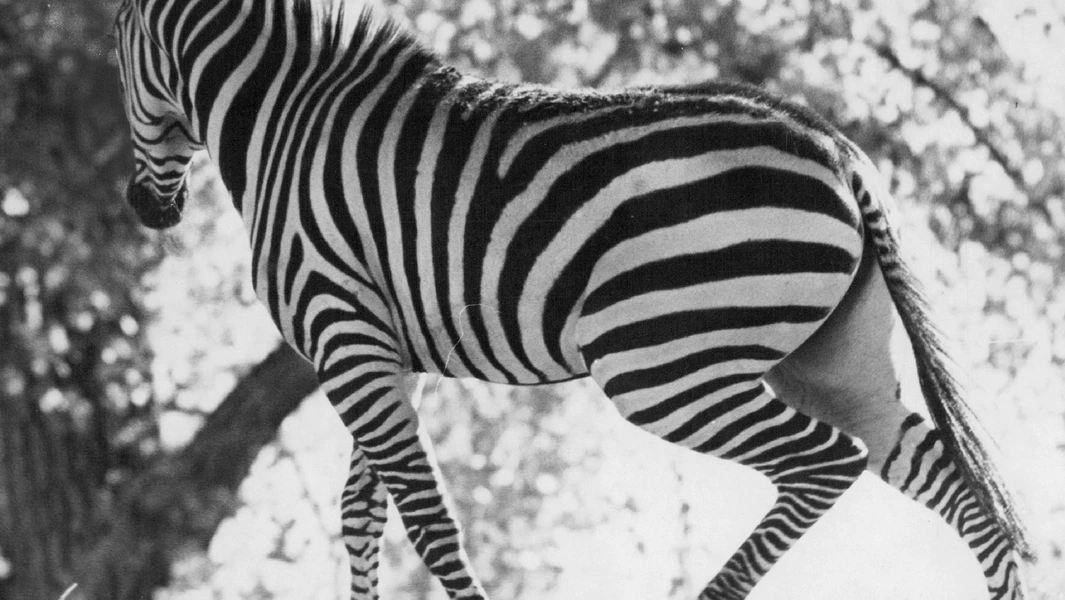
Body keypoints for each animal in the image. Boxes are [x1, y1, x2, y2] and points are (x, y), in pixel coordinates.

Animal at [112, 0, 1033, 598]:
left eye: (119, 45)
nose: (145, 210)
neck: (286, 115)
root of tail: (833, 147)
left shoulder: (338, 326)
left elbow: (423, 513)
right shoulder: (384, 348)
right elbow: (364, 510)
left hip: (657, 364)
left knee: (826, 462)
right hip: (833, 363)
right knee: (962, 496)